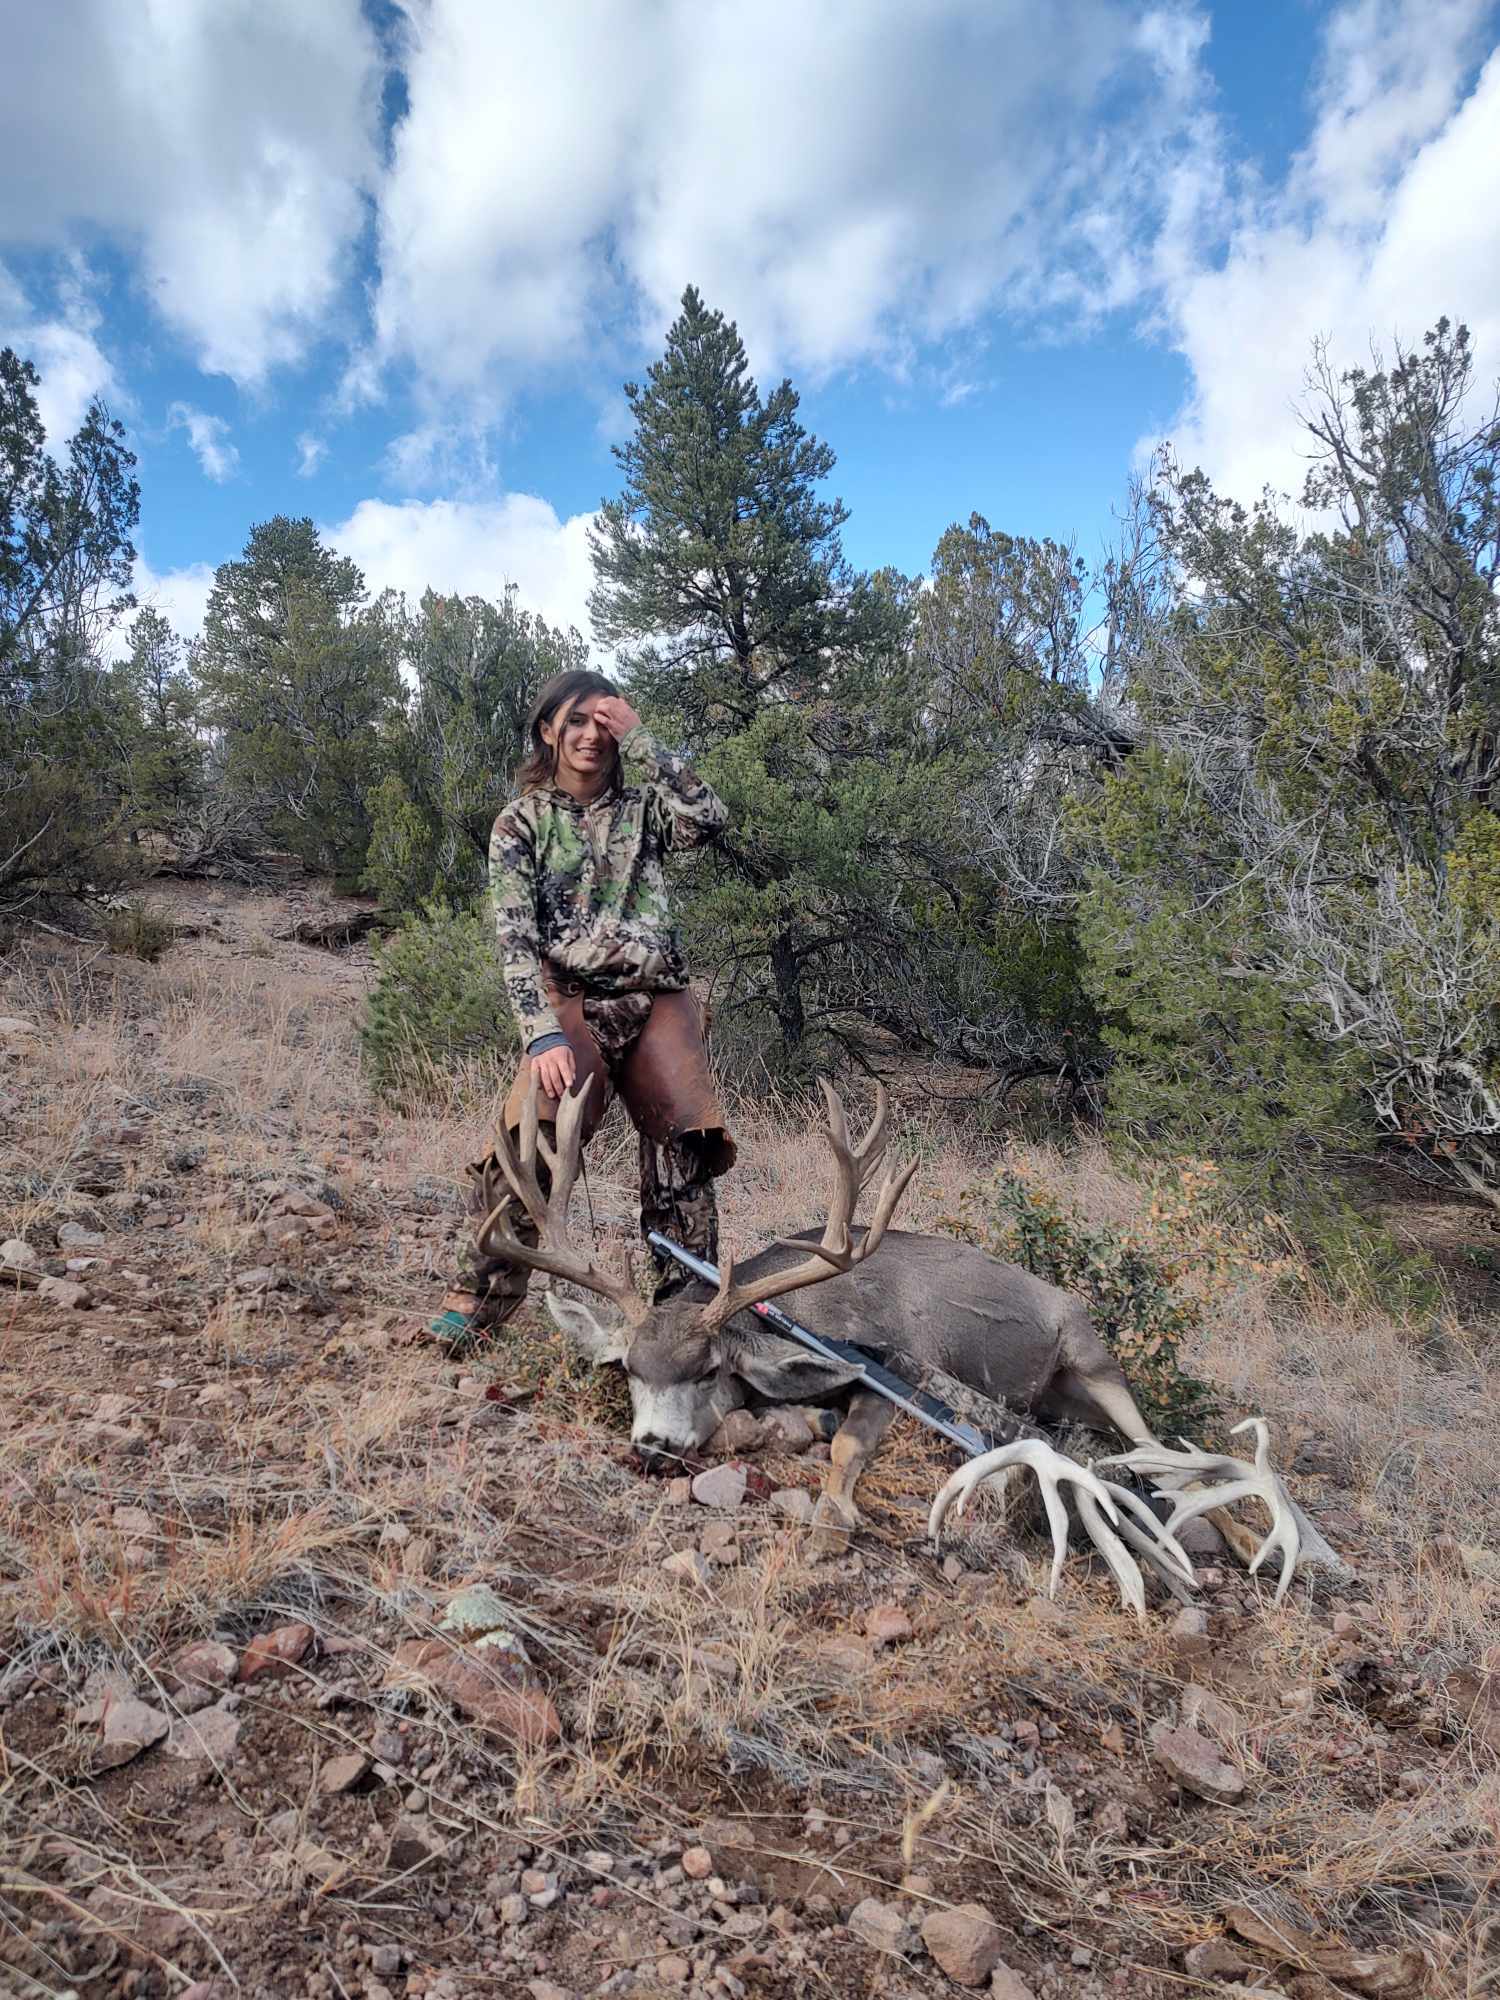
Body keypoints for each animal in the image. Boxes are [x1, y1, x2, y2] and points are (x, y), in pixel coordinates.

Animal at [476, 1075, 1349, 1613]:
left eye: (709, 1366)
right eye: (628, 1367)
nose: (652, 1447)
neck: (806, 1301)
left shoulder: (890, 1372)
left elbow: (843, 1451)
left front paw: (828, 1524)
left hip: (1097, 1360)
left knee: (1168, 1458)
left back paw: (1250, 1544)